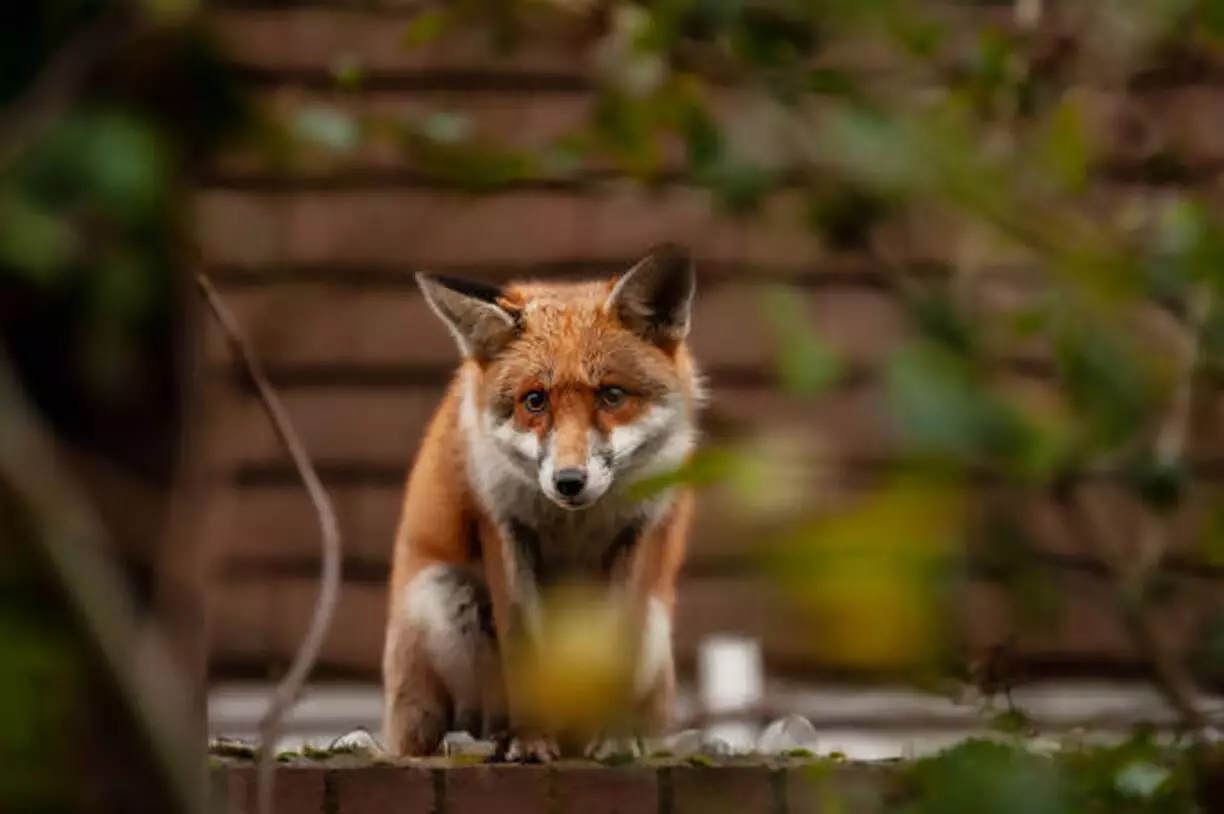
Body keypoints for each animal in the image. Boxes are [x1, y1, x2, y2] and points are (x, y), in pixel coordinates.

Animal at [381, 242, 709, 763]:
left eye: (611, 395)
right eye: (534, 401)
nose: (569, 481)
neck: (574, 522)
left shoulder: (640, 532)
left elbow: (617, 647)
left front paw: (615, 740)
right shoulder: (504, 528)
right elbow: (523, 652)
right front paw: (530, 741)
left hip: (656, 635)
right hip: (442, 595)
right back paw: (477, 740)